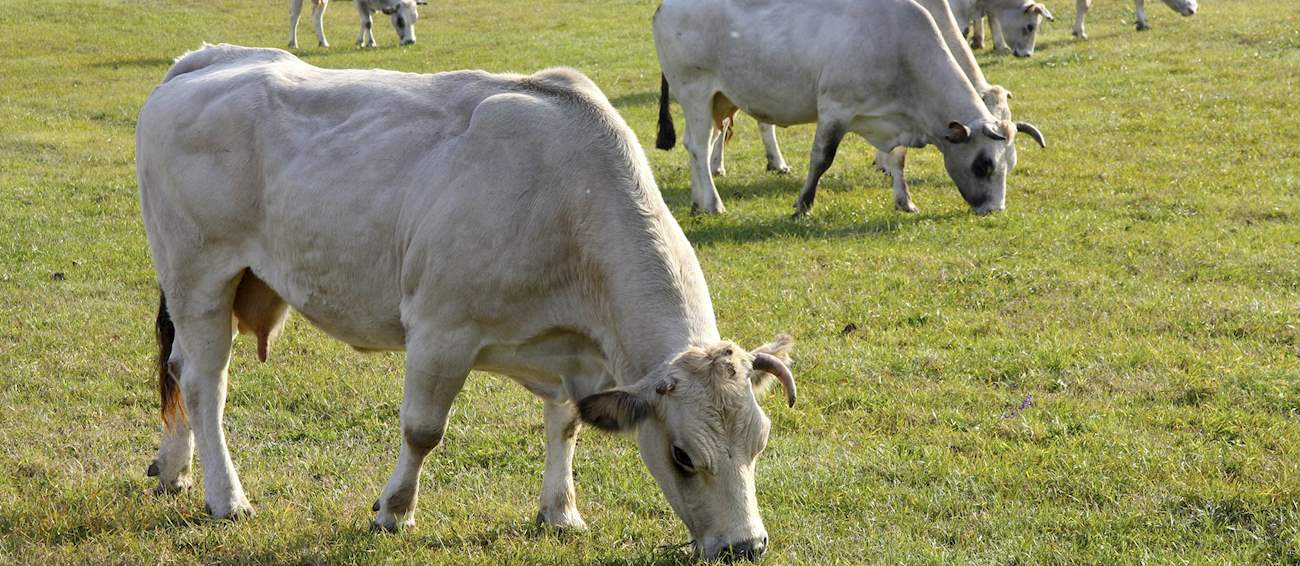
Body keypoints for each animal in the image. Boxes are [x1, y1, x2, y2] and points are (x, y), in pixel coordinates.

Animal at [137, 44, 797, 562]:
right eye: (682, 455)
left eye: (761, 441)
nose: (746, 546)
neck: (568, 205)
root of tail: (211, 59)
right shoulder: (440, 330)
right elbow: (423, 430)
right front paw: (394, 511)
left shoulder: (574, 354)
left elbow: (565, 424)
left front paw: (561, 513)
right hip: (199, 275)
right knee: (203, 383)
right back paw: (227, 497)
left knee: (178, 369)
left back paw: (174, 469)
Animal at [288, 0, 424, 49]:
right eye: (400, 20)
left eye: (416, 18)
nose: (410, 41)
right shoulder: (359, 1)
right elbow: (368, 22)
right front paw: (371, 43)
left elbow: (364, 21)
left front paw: (360, 41)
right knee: (295, 17)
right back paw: (293, 43)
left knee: (317, 17)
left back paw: (323, 42)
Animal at [655, 0, 1045, 216]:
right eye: (983, 164)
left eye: (1009, 164)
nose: (994, 209)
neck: (901, 48)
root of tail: (665, 7)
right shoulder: (834, 110)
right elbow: (821, 158)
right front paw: (803, 204)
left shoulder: (896, 118)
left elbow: (898, 160)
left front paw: (905, 201)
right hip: (695, 92)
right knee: (697, 145)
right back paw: (713, 203)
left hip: (720, 99)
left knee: (702, 145)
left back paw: (698, 201)